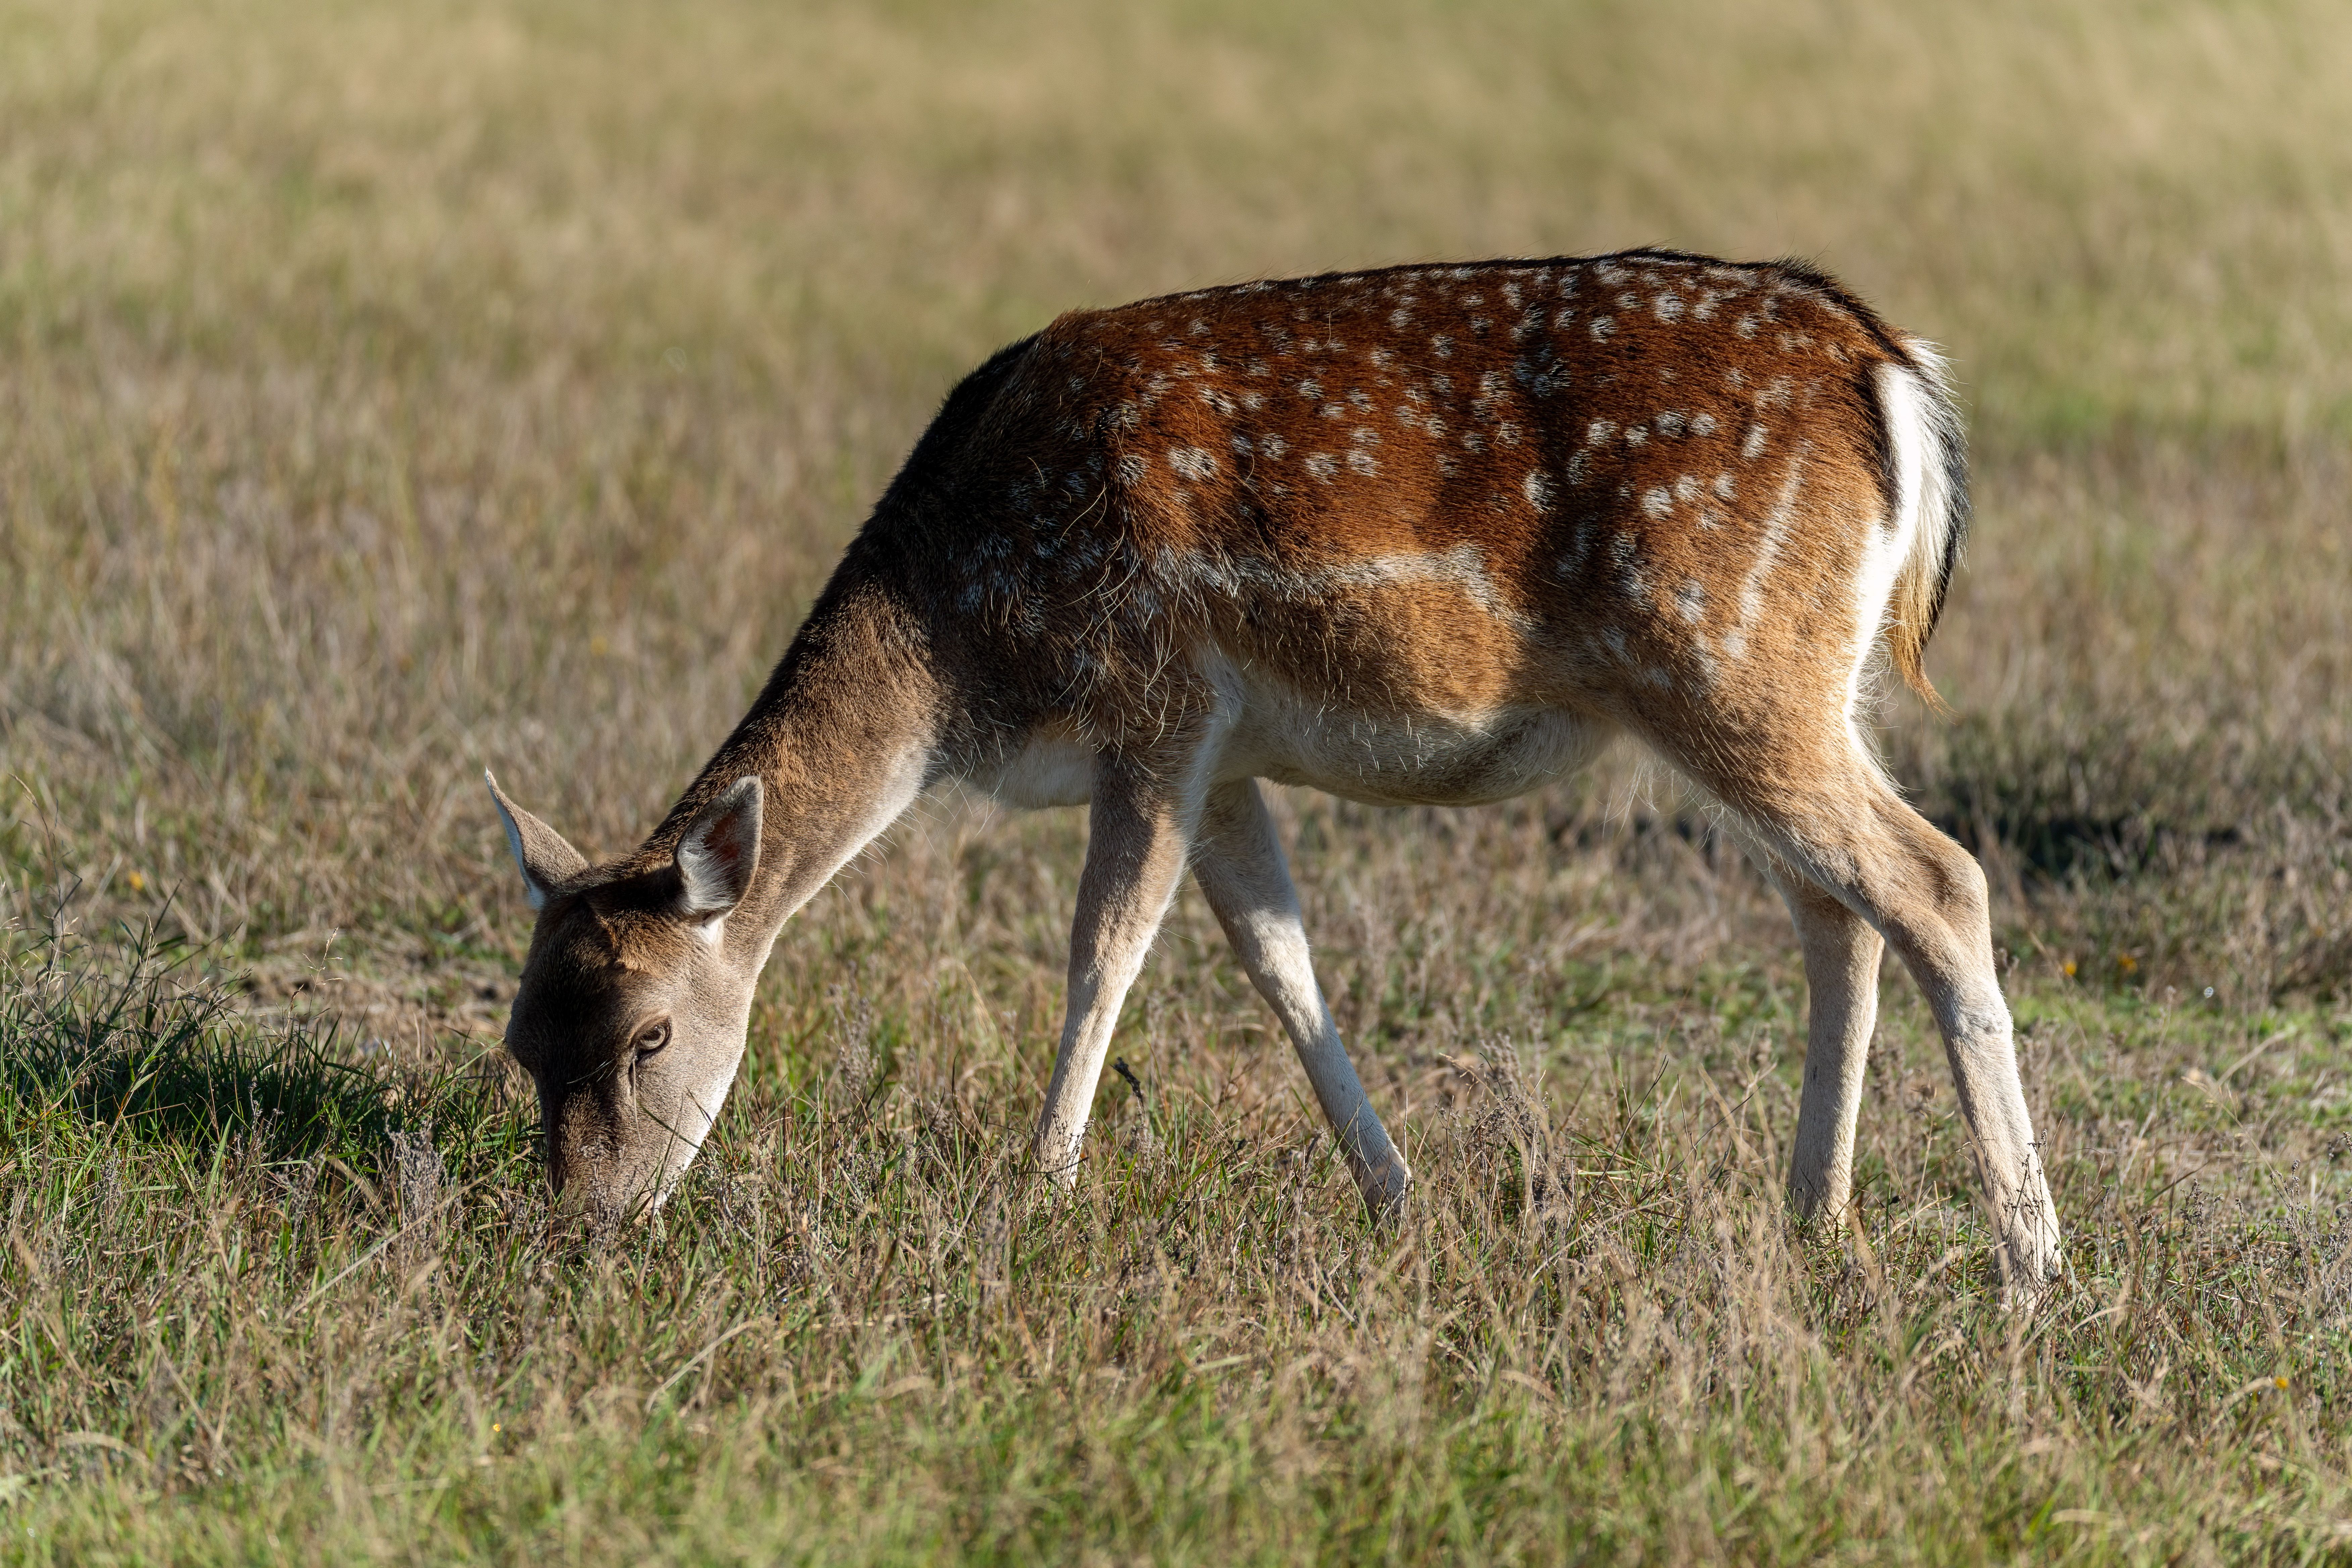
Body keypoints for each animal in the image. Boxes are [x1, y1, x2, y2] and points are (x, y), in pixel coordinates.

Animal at [486, 248, 2063, 1296]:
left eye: (647, 1035)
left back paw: (2030, 1255)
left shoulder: (1159, 700)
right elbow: (1277, 954)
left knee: (1938, 879)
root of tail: (1894, 370)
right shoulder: (1230, 758)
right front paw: (1399, 1198)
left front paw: (1036, 1197)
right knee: (1839, 908)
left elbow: (1106, 949)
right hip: (1805, 683)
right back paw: (1818, 1219)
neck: (959, 644)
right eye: (518, 1040)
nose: (581, 1229)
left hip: (1728, 662)